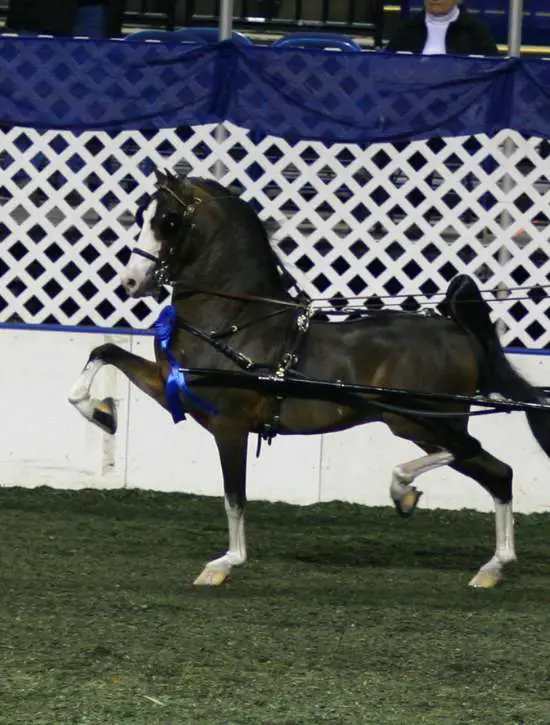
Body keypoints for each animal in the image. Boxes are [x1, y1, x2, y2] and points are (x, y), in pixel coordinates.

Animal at [68, 169, 550, 589]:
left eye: (168, 221)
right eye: (139, 216)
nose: (132, 282)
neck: (237, 323)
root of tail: (456, 328)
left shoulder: (229, 424)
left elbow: (234, 495)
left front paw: (225, 564)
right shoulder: (173, 385)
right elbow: (103, 353)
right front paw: (102, 413)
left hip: (419, 420)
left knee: (472, 452)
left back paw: (404, 491)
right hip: (421, 424)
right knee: (498, 472)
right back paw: (492, 567)